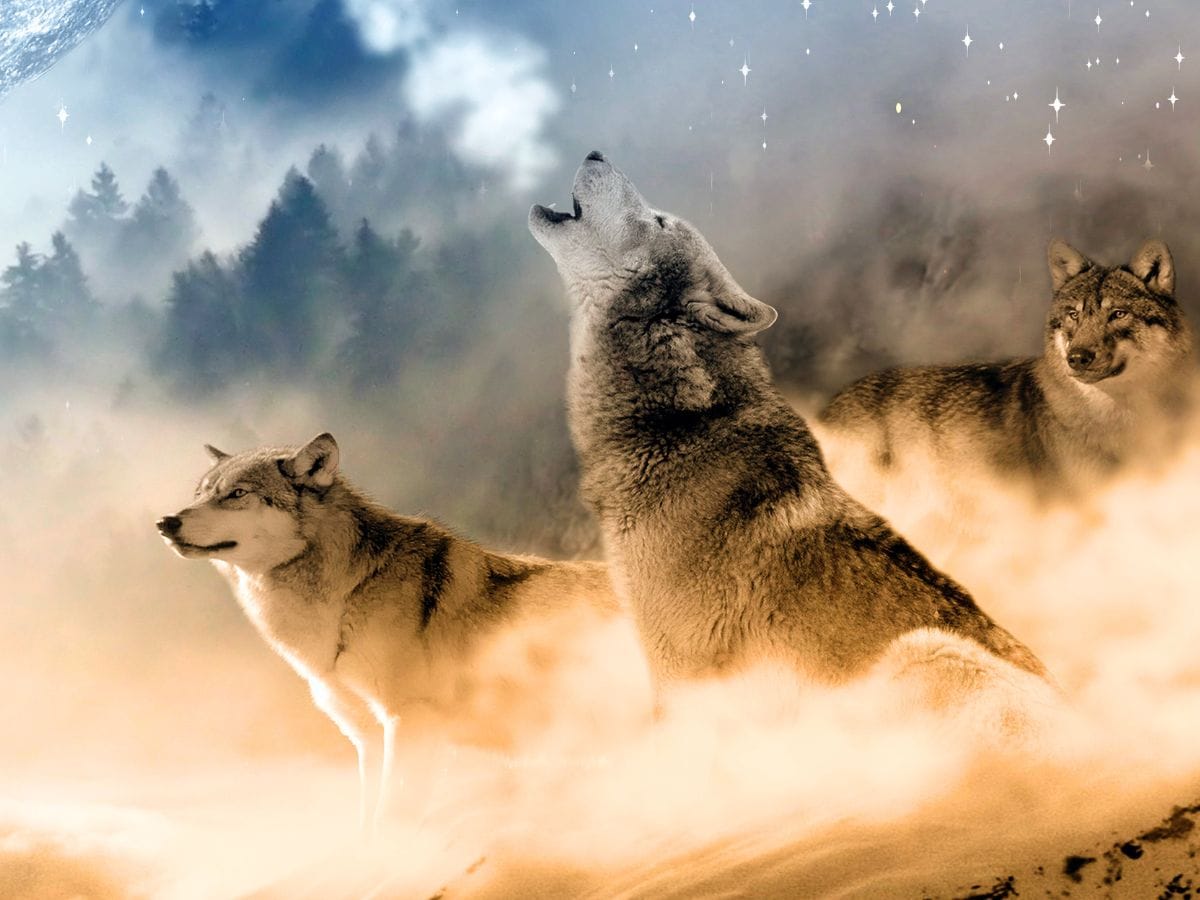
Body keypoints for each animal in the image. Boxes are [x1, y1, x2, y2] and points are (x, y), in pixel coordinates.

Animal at [156, 432, 623, 831]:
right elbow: (368, 824)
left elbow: (389, 819)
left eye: (236, 494)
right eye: (200, 494)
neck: (346, 596)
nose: (166, 522)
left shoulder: (409, 722)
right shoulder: (367, 738)